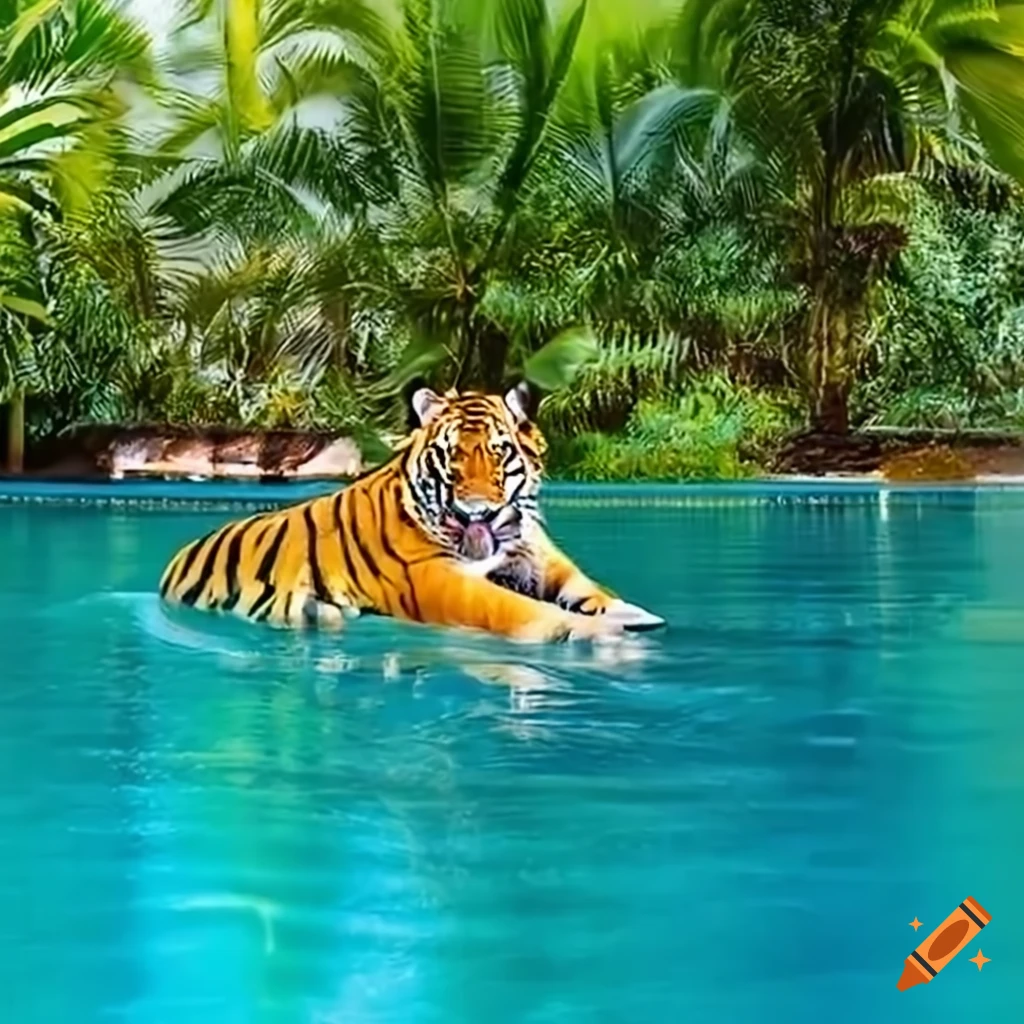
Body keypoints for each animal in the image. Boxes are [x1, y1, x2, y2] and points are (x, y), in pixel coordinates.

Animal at [158, 383, 665, 643]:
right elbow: (512, 607)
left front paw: (630, 614)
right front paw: (588, 633)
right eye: (453, 457)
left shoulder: (538, 555)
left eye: (499, 453)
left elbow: (586, 586)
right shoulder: (434, 579)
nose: (477, 513)